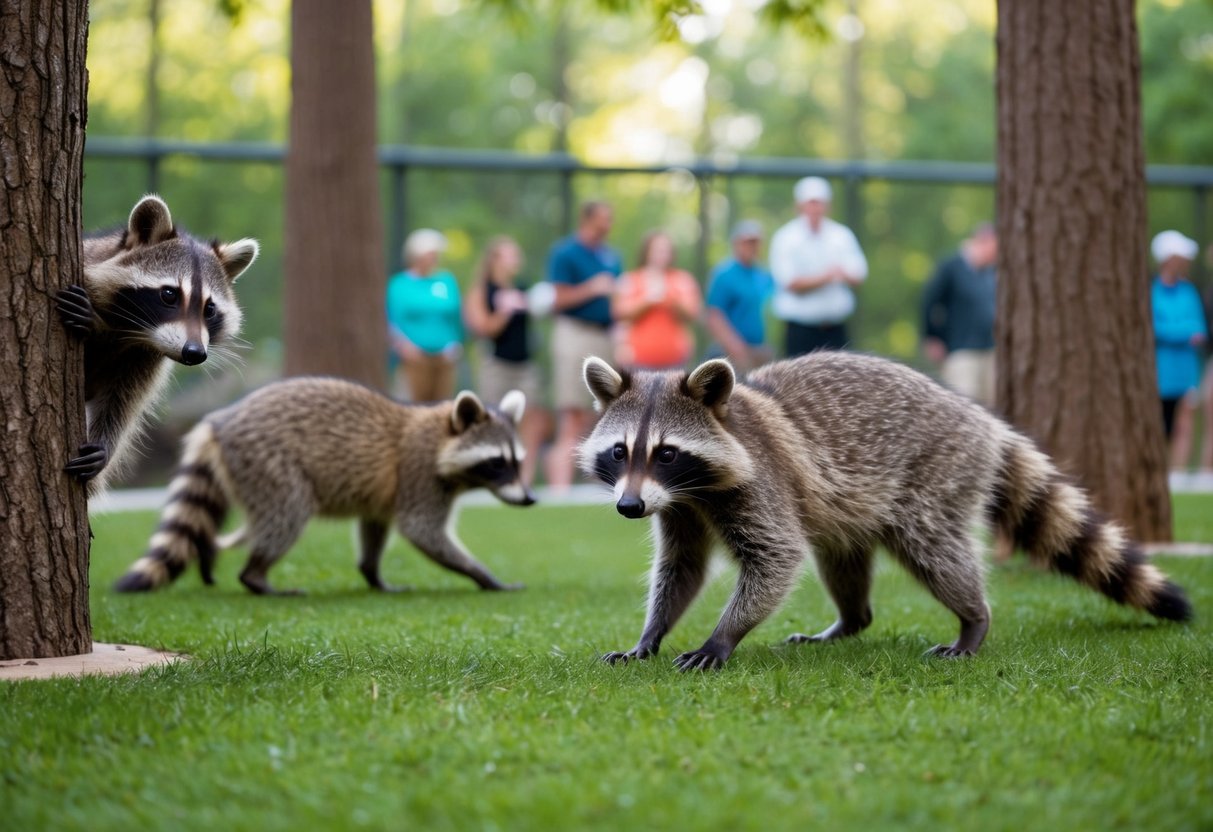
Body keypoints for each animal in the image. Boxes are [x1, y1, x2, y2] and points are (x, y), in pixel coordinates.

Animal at [56, 195, 259, 494]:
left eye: (209, 309)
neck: (136, 333)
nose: (195, 353)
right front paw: (99, 325)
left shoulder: (145, 358)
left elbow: (122, 402)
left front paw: (105, 441)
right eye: (169, 294)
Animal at [114, 377, 534, 595]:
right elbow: (421, 529)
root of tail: (219, 420)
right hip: (268, 461)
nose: (530, 498)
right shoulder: (418, 472)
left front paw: (372, 573)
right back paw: (255, 575)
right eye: (498, 463)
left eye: (518, 462)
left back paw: (210, 550)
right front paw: (482, 574)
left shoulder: (386, 492)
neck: (443, 431)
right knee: (287, 513)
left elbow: (375, 525)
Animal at [579, 352, 1191, 671]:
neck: (691, 488)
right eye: (620, 451)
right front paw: (651, 635)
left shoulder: (761, 480)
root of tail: (981, 418)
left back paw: (973, 619)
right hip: (853, 509)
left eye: (666, 452)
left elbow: (775, 557)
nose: (629, 507)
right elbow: (681, 567)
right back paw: (850, 620)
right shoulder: (677, 507)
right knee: (841, 559)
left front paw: (721, 638)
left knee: (935, 550)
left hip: (938, 470)